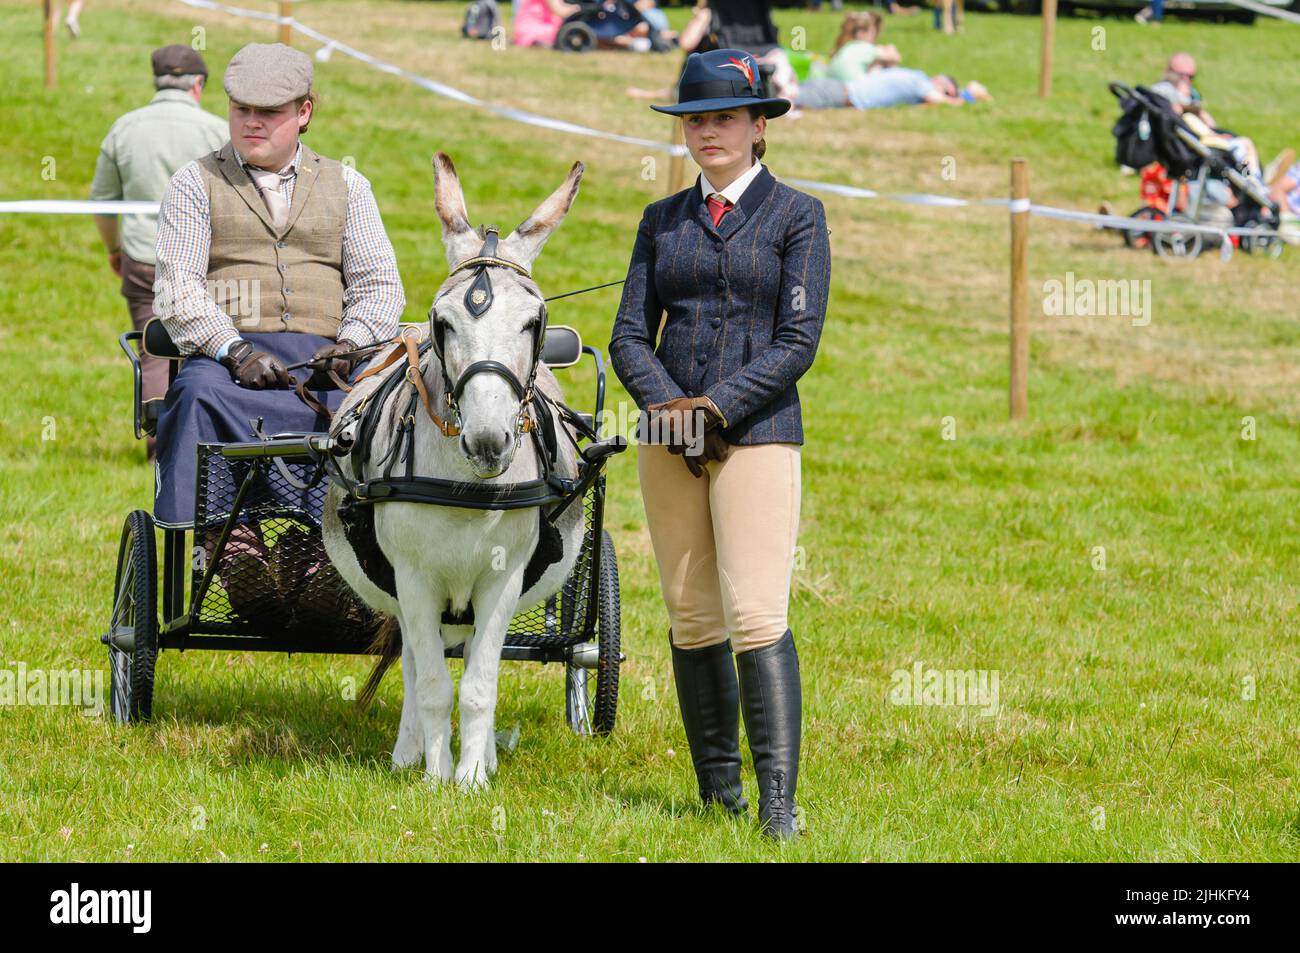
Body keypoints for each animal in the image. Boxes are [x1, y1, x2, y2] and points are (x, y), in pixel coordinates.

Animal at [322, 152, 588, 790]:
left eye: (534, 322)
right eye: (443, 322)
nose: (488, 440)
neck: (470, 489)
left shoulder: (503, 579)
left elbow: (479, 684)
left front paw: (471, 779)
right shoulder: (413, 579)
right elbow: (433, 685)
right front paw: (436, 777)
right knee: (417, 665)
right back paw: (409, 753)